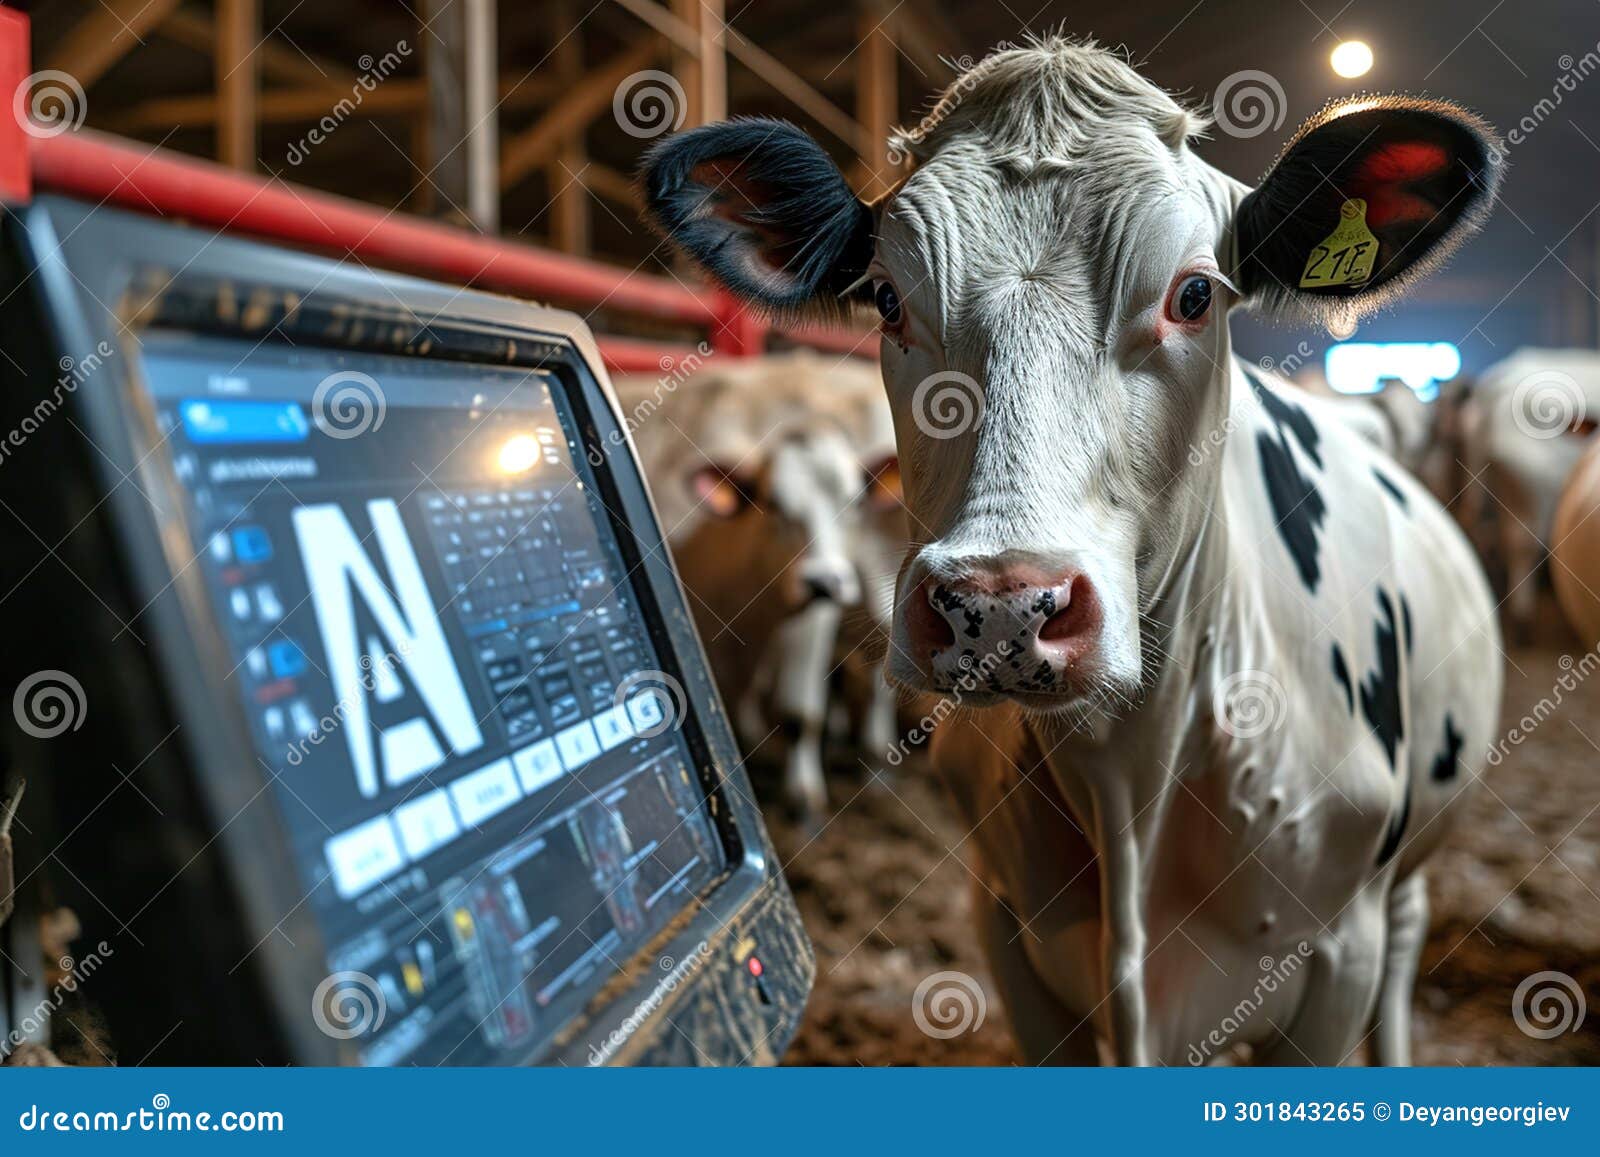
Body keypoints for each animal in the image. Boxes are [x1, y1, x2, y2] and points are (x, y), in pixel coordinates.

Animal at [615, 352, 905, 818]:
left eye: (854, 502)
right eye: (773, 502)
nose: (826, 580)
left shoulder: (815, 618)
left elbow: (802, 713)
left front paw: (804, 792)